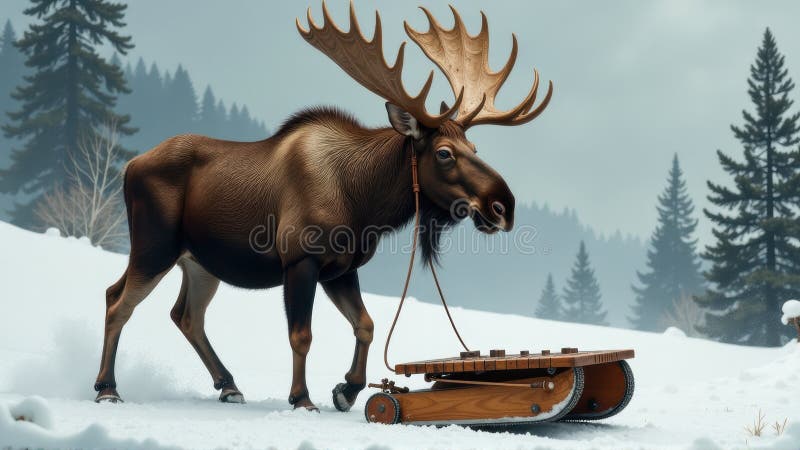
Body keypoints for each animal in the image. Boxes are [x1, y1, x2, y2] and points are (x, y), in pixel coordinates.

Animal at [93, 2, 553, 412]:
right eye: (443, 153)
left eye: (474, 148)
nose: (503, 206)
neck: (366, 204)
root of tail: (130, 165)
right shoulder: (301, 259)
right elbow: (302, 335)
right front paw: (302, 398)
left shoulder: (343, 268)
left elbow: (366, 325)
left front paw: (346, 390)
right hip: (155, 246)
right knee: (118, 300)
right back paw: (107, 388)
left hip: (201, 262)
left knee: (185, 314)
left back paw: (228, 385)